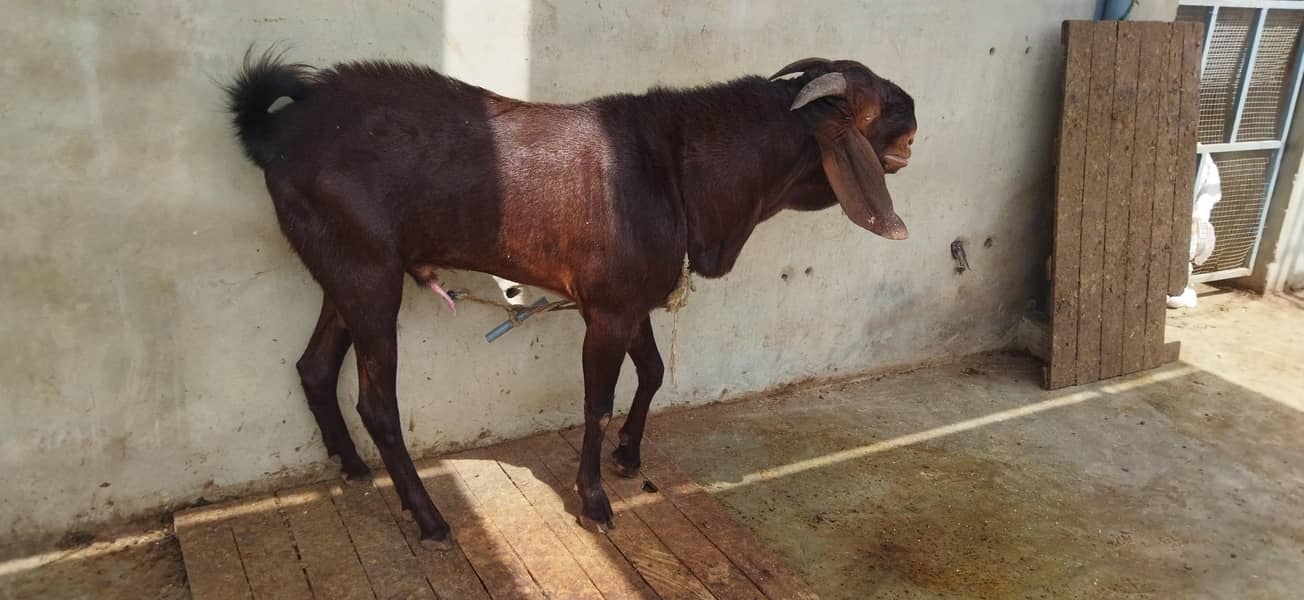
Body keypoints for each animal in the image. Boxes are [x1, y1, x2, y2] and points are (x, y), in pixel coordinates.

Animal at [225, 51, 916, 545]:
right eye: (874, 102)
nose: (913, 109)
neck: (676, 169)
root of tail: (277, 132)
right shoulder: (607, 309)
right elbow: (597, 404)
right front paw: (593, 501)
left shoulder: (632, 298)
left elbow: (654, 371)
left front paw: (629, 456)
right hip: (367, 273)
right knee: (376, 403)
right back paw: (429, 519)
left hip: (344, 271)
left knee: (315, 366)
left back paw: (352, 468)